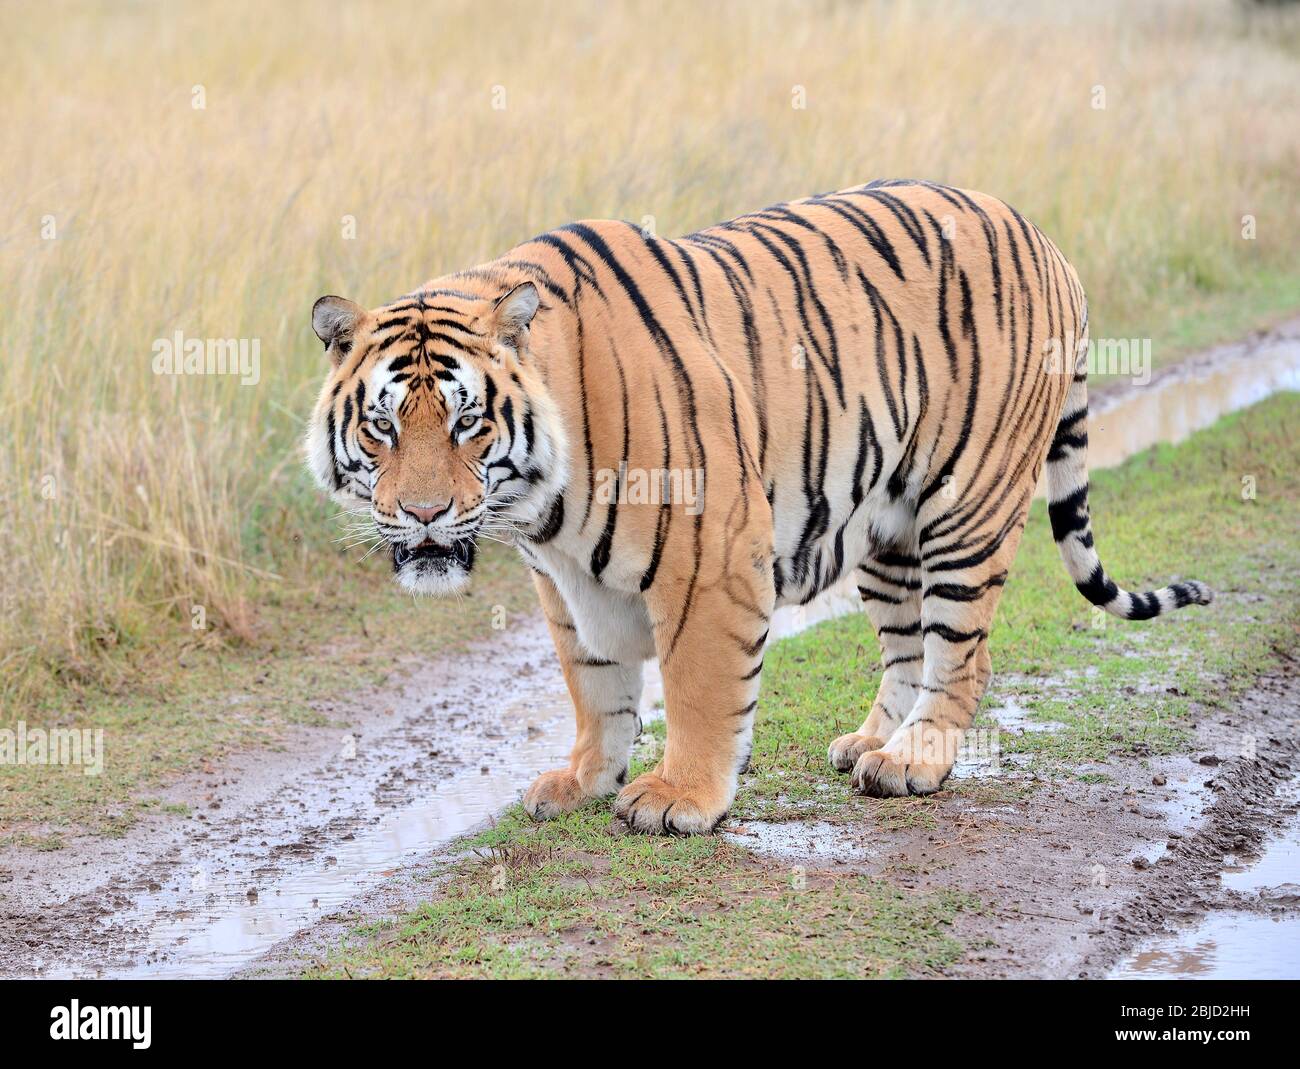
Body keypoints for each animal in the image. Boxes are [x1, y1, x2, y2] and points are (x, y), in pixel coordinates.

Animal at [305, 180, 1212, 835]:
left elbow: (699, 685)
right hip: (884, 523)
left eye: (468, 422)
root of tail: (1046, 238)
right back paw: (871, 743)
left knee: (963, 652)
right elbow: (595, 685)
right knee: (906, 644)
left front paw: (680, 796)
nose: (423, 514)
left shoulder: (710, 555)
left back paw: (914, 760)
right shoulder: (562, 585)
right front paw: (585, 780)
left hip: (969, 502)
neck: (540, 510)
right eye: (384, 425)